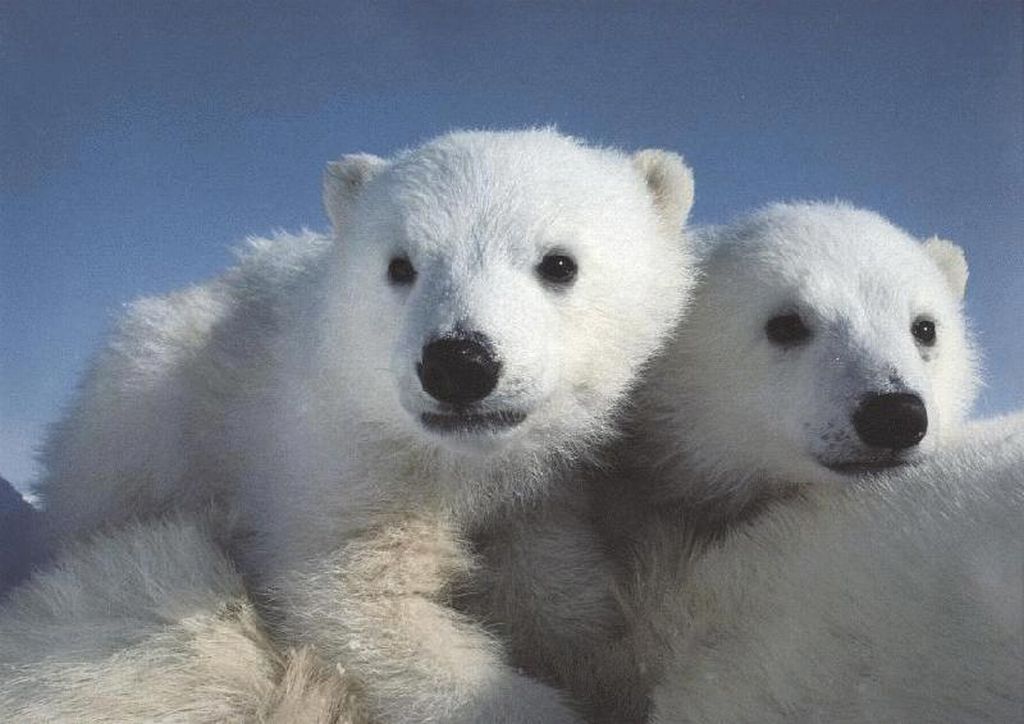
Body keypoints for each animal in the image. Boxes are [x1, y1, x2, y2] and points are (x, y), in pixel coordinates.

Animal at [10, 129, 697, 722]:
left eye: (559, 263)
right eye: (400, 265)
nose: (458, 362)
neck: (455, 463)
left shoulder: (539, 496)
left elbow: (558, 589)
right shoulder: (339, 463)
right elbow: (356, 602)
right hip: (141, 425)